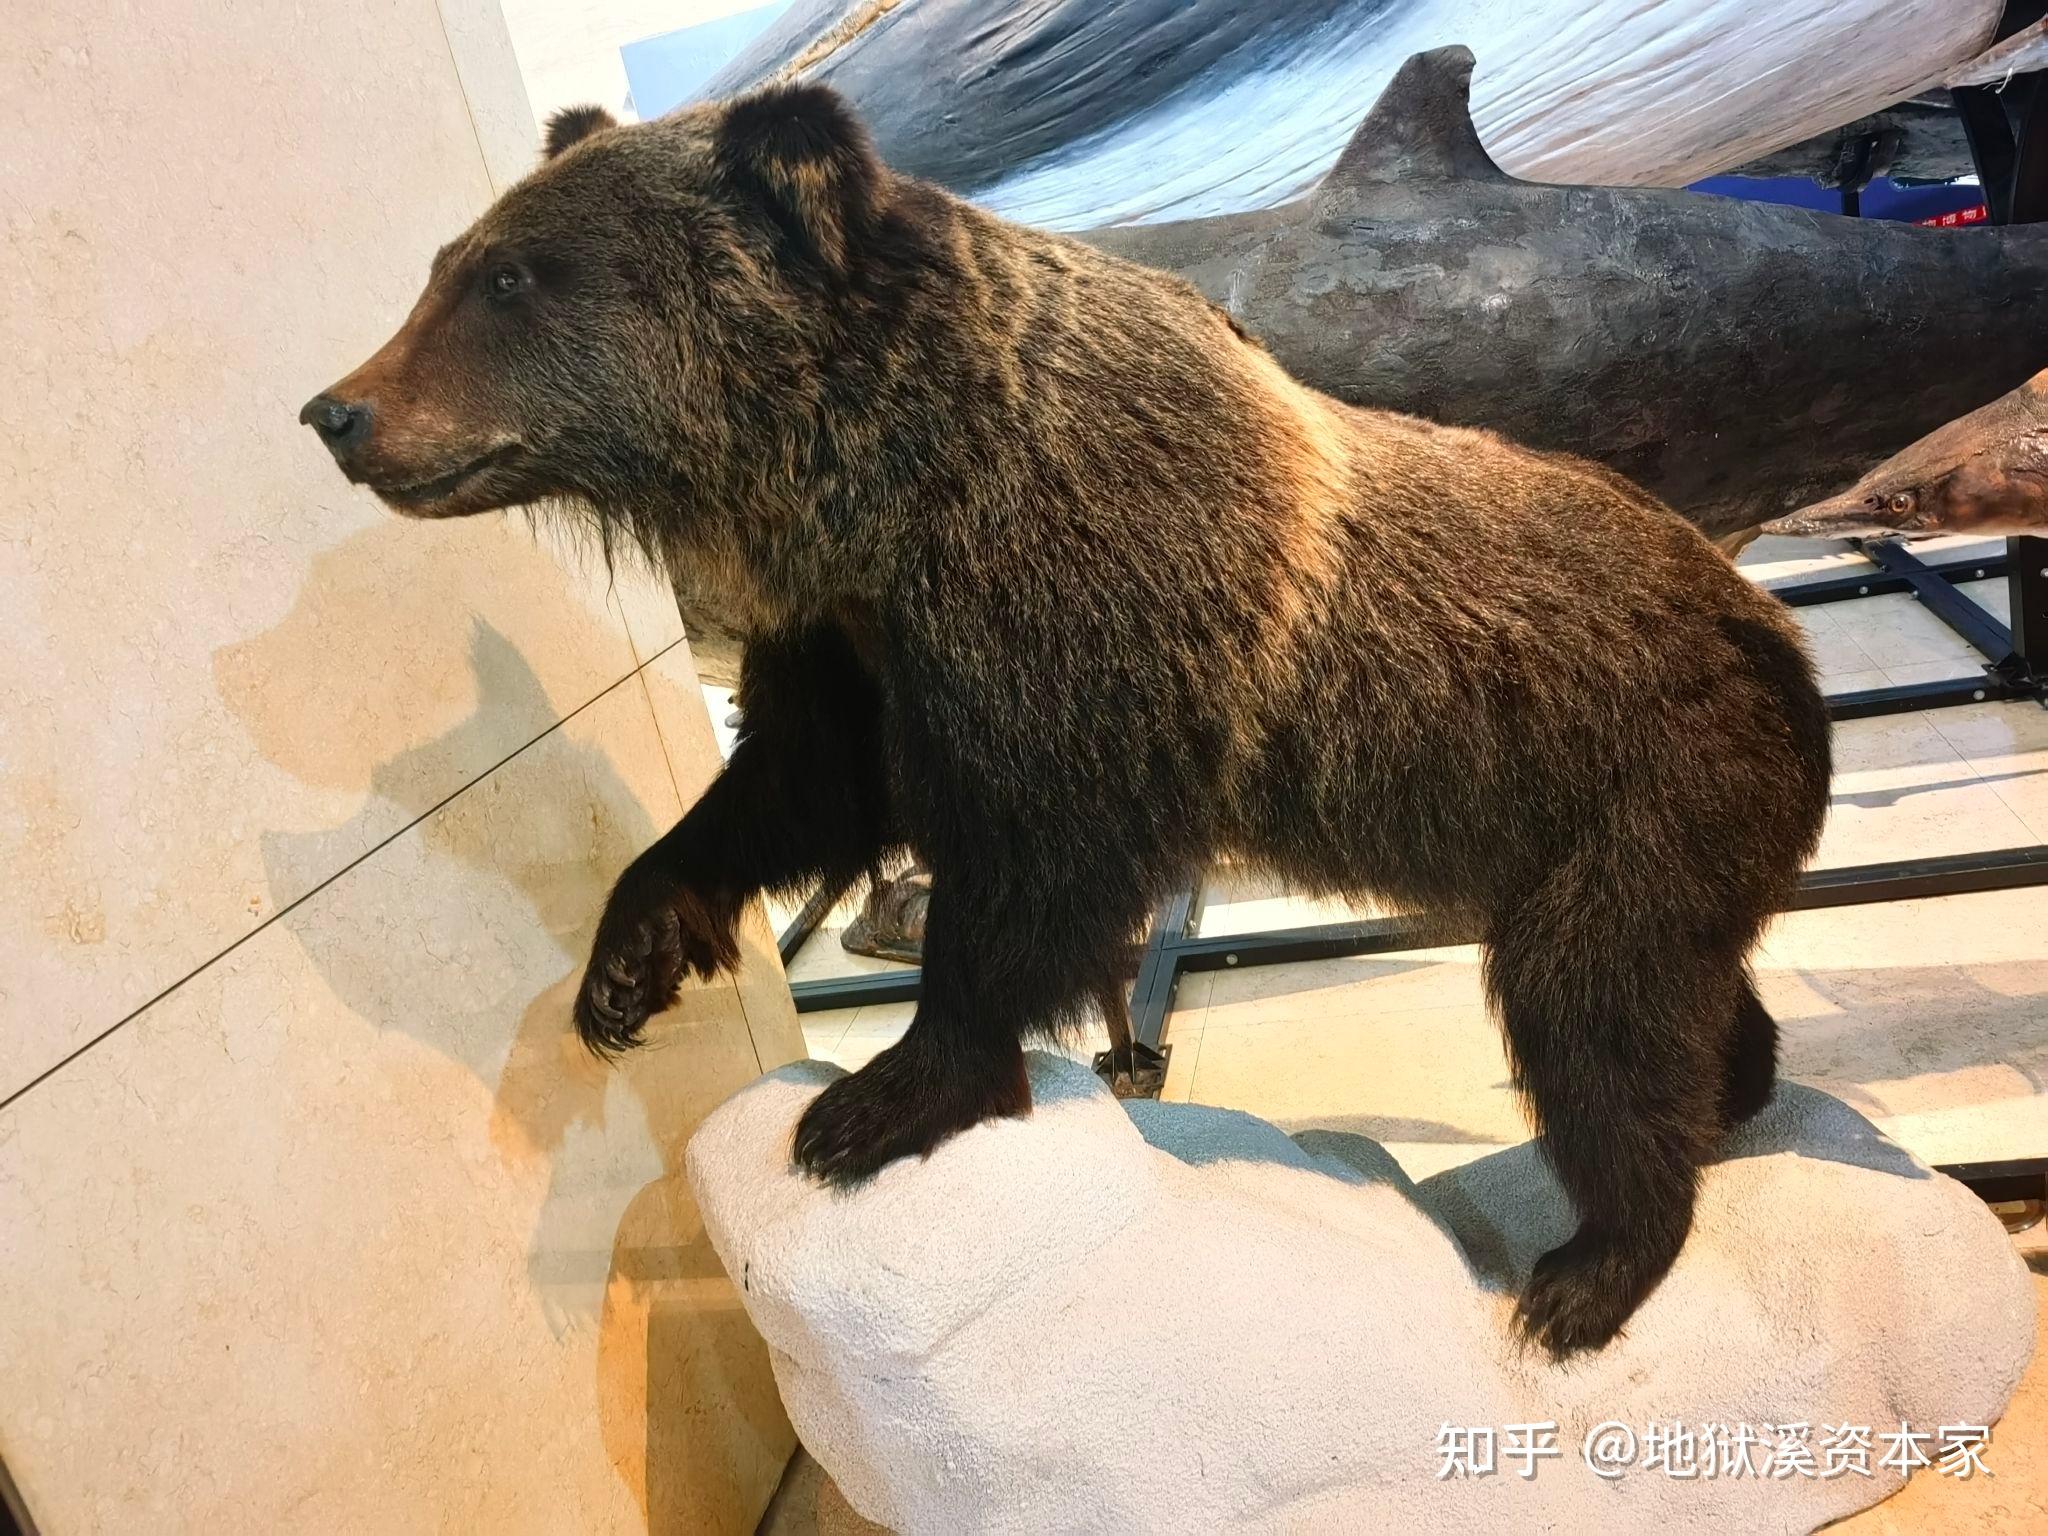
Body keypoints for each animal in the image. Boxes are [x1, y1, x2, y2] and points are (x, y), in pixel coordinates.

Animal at [299, 84, 1832, 1356]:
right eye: (450, 261)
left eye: (507, 276)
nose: (337, 409)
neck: (880, 486)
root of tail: (1782, 642)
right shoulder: (854, 642)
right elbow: (793, 790)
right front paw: (627, 964)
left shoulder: (1074, 615)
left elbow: (1033, 869)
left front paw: (873, 1099)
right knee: (1671, 986)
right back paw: (1735, 1084)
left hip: (1640, 780)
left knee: (1595, 1015)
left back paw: (1587, 1272)